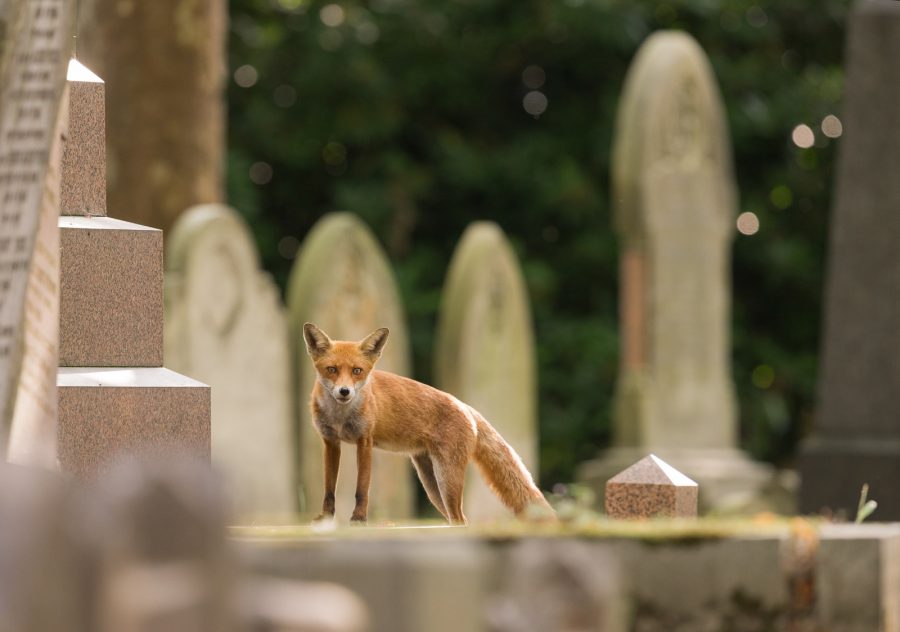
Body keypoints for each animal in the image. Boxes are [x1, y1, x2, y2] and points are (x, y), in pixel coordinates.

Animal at [302, 322, 555, 525]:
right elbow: (329, 489)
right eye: (332, 370)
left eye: (357, 371)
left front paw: (359, 519)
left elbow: (362, 489)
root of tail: (464, 405)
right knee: (459, 519)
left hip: (447, 480)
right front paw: (326, 519)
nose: (344, 392)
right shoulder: (331, 442)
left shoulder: (365, 441)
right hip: (433, 487)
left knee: (460, 520)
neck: (340, 417)